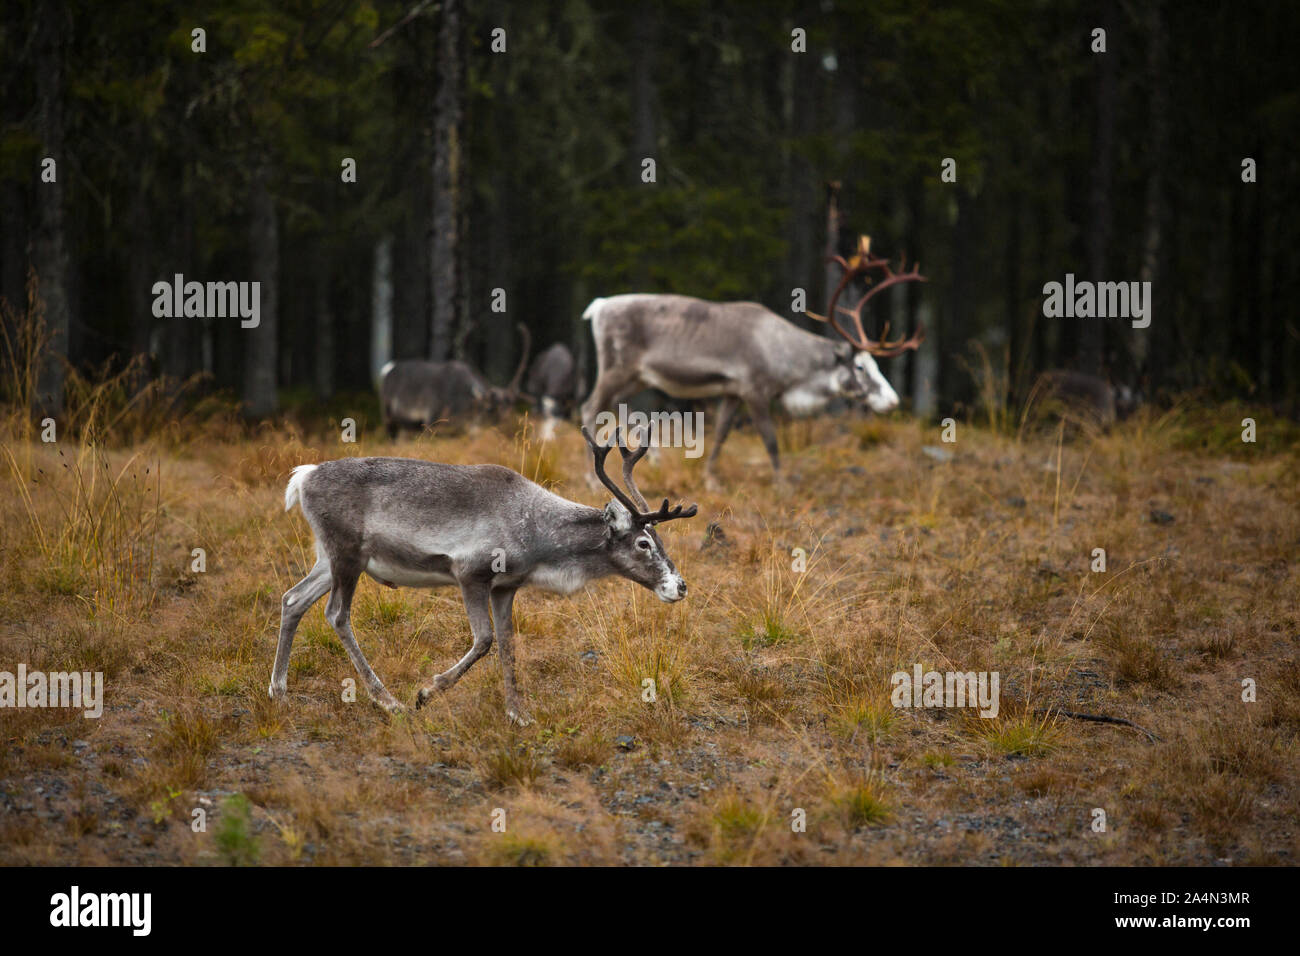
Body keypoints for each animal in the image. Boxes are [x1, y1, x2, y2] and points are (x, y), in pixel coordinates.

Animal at [269, 426, 698, 724]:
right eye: (643, 543)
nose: (679, 586)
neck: (539, 537)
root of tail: (303, 477)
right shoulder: (469, 573)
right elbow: (485, 640)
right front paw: (427, 691)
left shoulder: (506, 587)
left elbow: (508, 645)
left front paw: (518, 714)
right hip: (346, 555)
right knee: (336, 614)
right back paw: (389, 702)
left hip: (329, 558)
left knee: (293, 598)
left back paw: (278, 690)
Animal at [379, 323, 531, 439]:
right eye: (490, 408)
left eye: (512, 407)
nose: (506, 428)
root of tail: (387, 368)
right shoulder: (430, 421)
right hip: (388, 416)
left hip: (405, 427)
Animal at [580, 235, 925, 485]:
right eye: (861, 367)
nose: (893, 401)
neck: (789, 362)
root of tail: (598, 306)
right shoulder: (755, 390)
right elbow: (770, 440)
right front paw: (782, 485)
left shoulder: (733, 391)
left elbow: (721, 434)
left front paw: (710, 480)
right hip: (615, 368)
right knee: (591, 407)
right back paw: (592, 479)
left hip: (636, 376)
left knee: (619, 406)